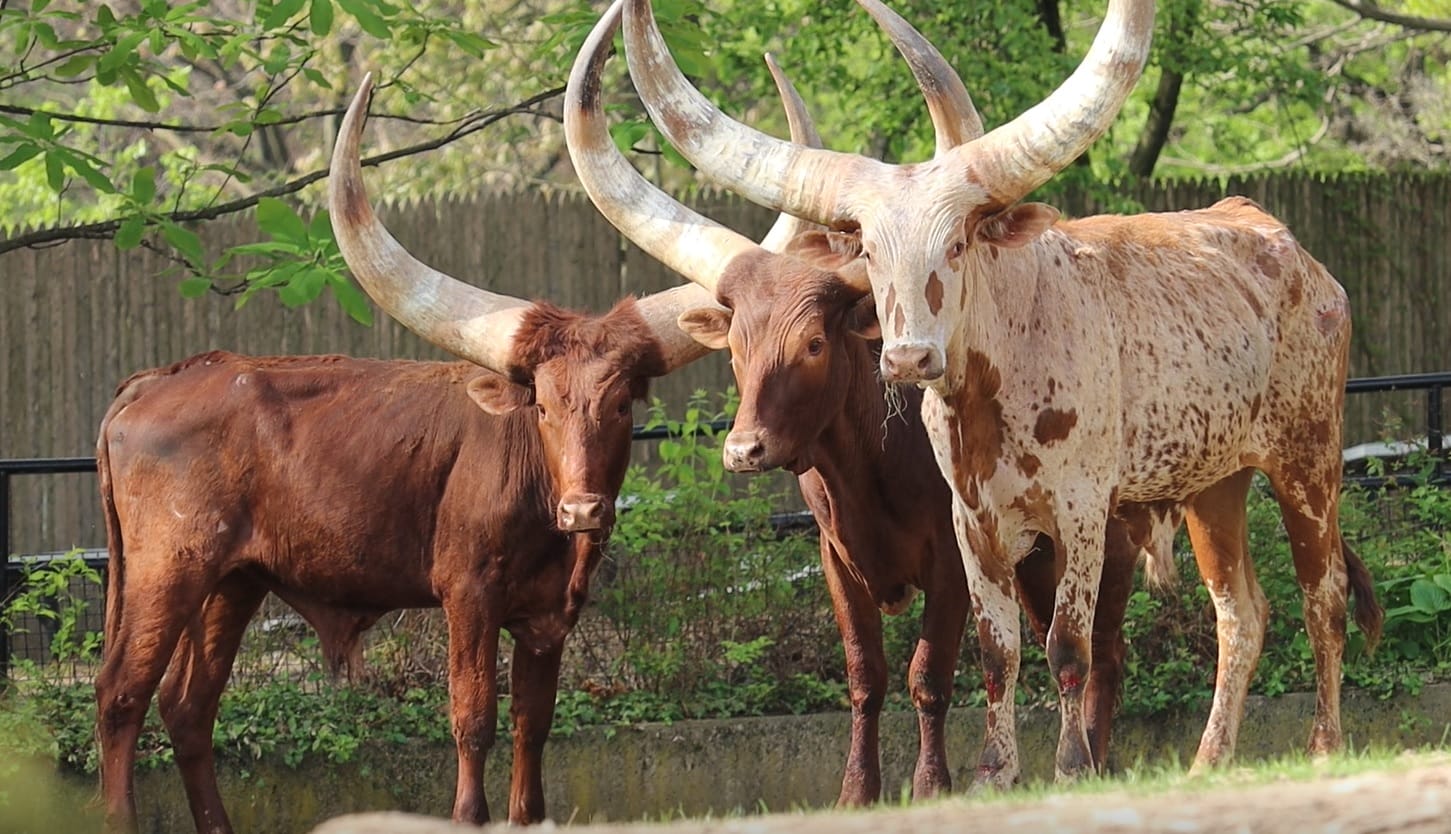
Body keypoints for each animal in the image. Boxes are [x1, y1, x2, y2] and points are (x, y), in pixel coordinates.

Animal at [95, 75, 719, 829]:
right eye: (542, 405)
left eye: (622, 404)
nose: (582, 510)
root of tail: (163, 377)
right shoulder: (468, 595)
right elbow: (473, 718)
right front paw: (469, 812)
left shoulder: (548, 619)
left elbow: (532, 726)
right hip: (166, 570)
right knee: (122, 696)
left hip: (232, 582)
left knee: (188, 707)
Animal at [560, 3, 1149, 806]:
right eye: (735, 344)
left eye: (814, 342)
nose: (742, 450)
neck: (870, 460)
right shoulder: (836, 557)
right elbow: (866, 675)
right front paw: (856, 790)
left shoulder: (950, 559)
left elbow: (930, 675)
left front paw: (931, 785)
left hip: (1101, 536)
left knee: (1103, 649)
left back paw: (1094, 757)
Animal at [621, 0, 1381, 789]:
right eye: (871, 253)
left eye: (956, 244)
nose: (909, 356)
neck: (993, 397)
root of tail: (1291, 248)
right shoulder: (972, 525)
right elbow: (996, 653)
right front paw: (993, 770)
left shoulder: (1079, 515)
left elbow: (1068, 649)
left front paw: (1071, 766)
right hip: (1213, 484)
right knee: (1240, 611)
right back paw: (1208, 760)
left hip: (1307, 461)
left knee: (1322, 597)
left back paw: (1323, 745)